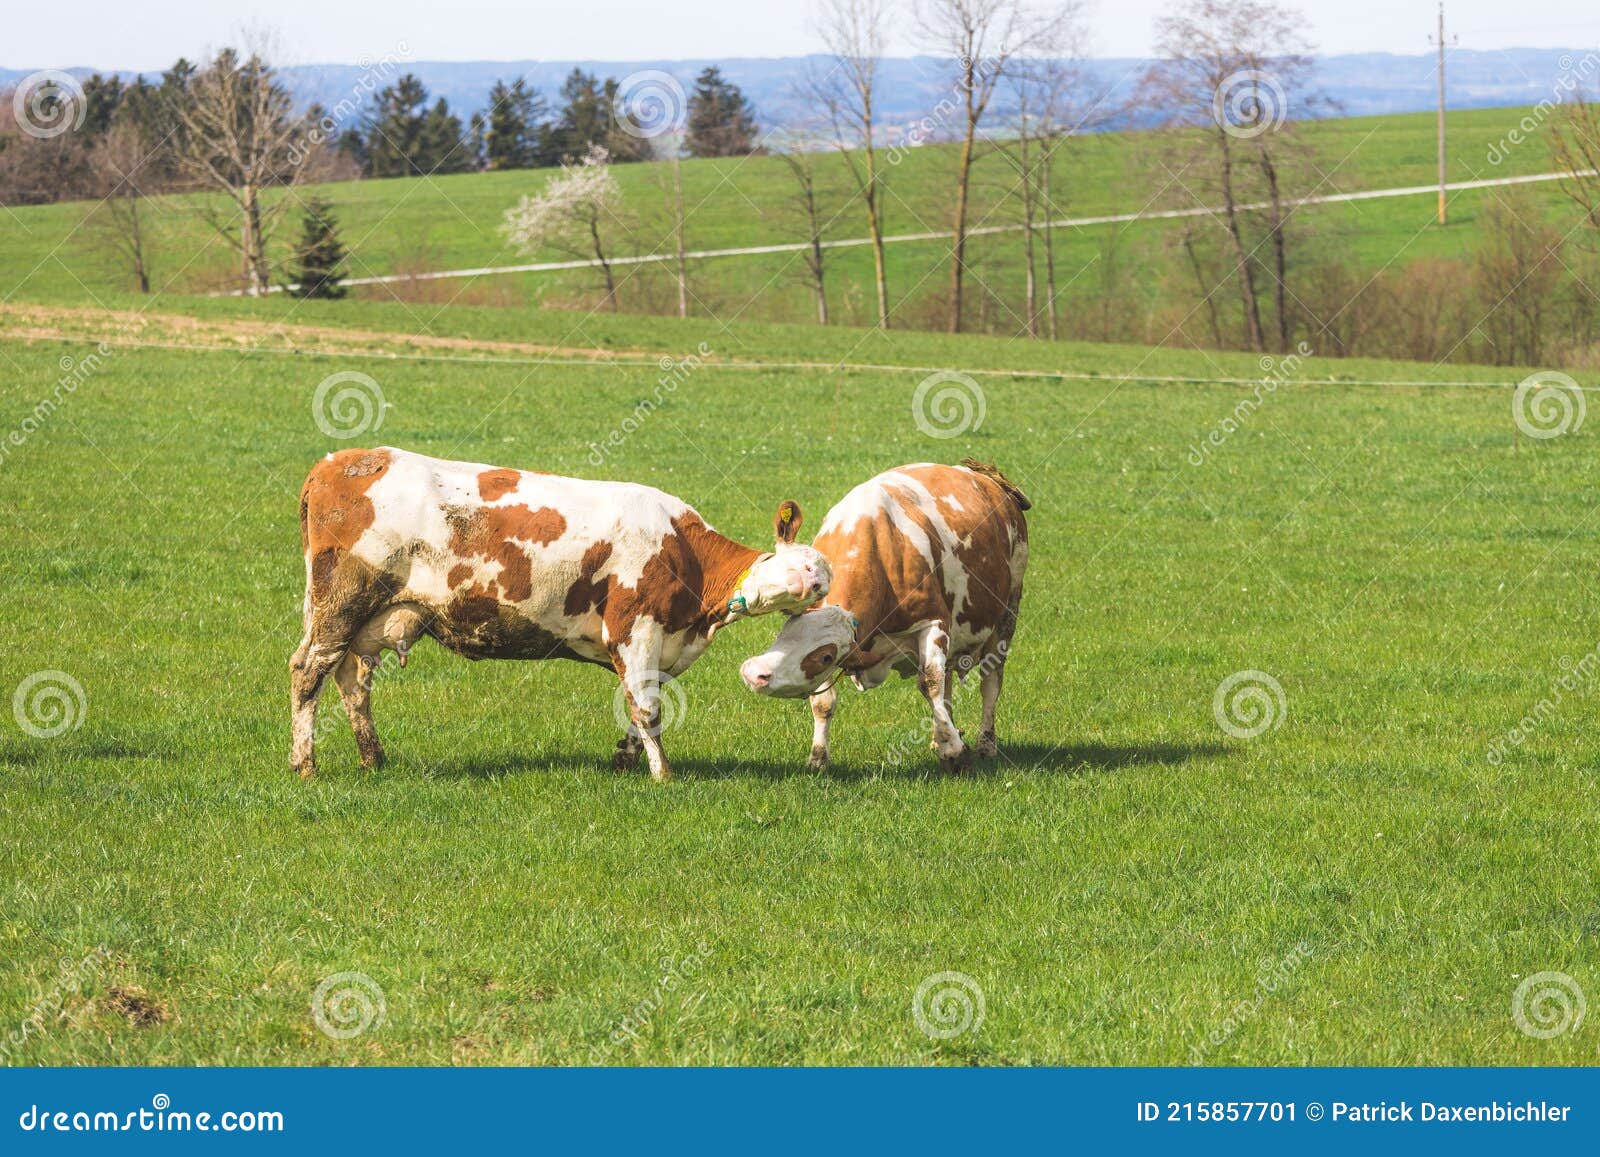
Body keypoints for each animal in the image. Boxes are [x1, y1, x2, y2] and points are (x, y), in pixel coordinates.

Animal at [291, 447, 830, 782]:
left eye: (822, 578)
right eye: (802, 565)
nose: (814, 585)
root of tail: (339, 462)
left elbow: (639, 706)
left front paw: (625, 761)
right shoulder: (635, 627)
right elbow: (647, 707)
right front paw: (664, 775)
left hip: (369, 618)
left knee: (352, 681)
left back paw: (373, 758)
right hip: (341, 601)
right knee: (308, 672)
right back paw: (305, 764)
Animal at [737, 460, 1029, 773]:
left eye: (826, 656)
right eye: (786, 628)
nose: (754, 673)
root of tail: (988, 478)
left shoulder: (934, 623)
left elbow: (930, 683)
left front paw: (954, 752)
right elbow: (823, 702)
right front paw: (818, 758)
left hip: (1008, 612)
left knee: (990, 681)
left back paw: (986, 743)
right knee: (950, 677)